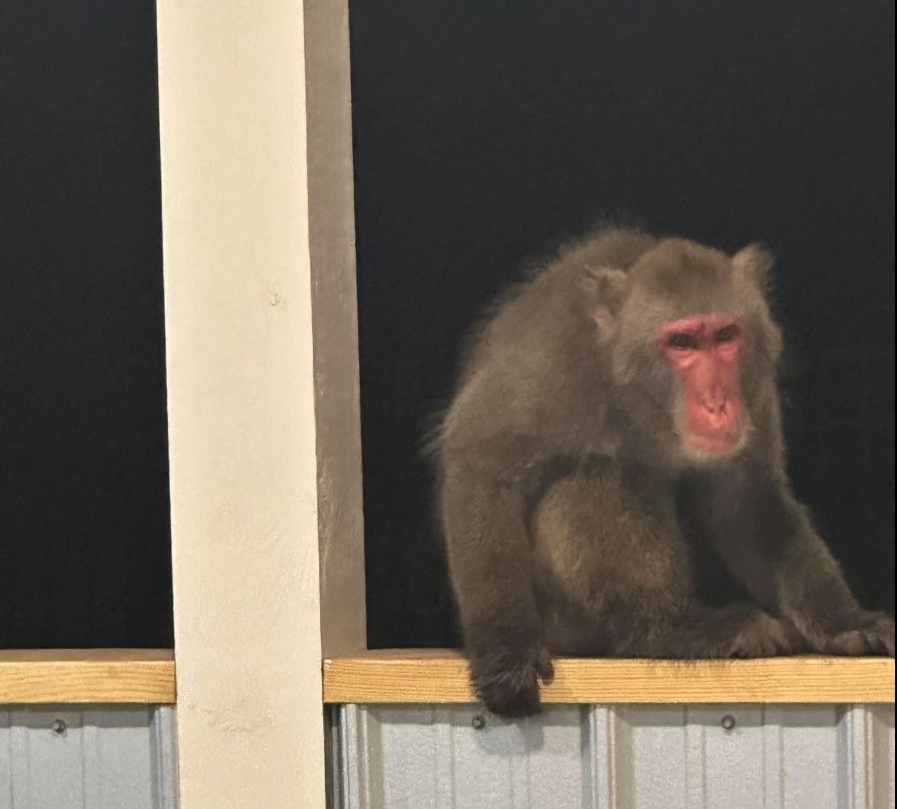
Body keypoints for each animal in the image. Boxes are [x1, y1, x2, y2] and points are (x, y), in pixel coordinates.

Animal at [432, 224, 895, 718]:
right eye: (682, 343)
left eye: (726, 335)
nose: (717, 403)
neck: (642, 401)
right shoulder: (549, 362)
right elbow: (480, 464)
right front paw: (505, 651)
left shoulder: (754, 388)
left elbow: (748, 499)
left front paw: (846, 621)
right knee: (602, 475)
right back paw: (669, 628)